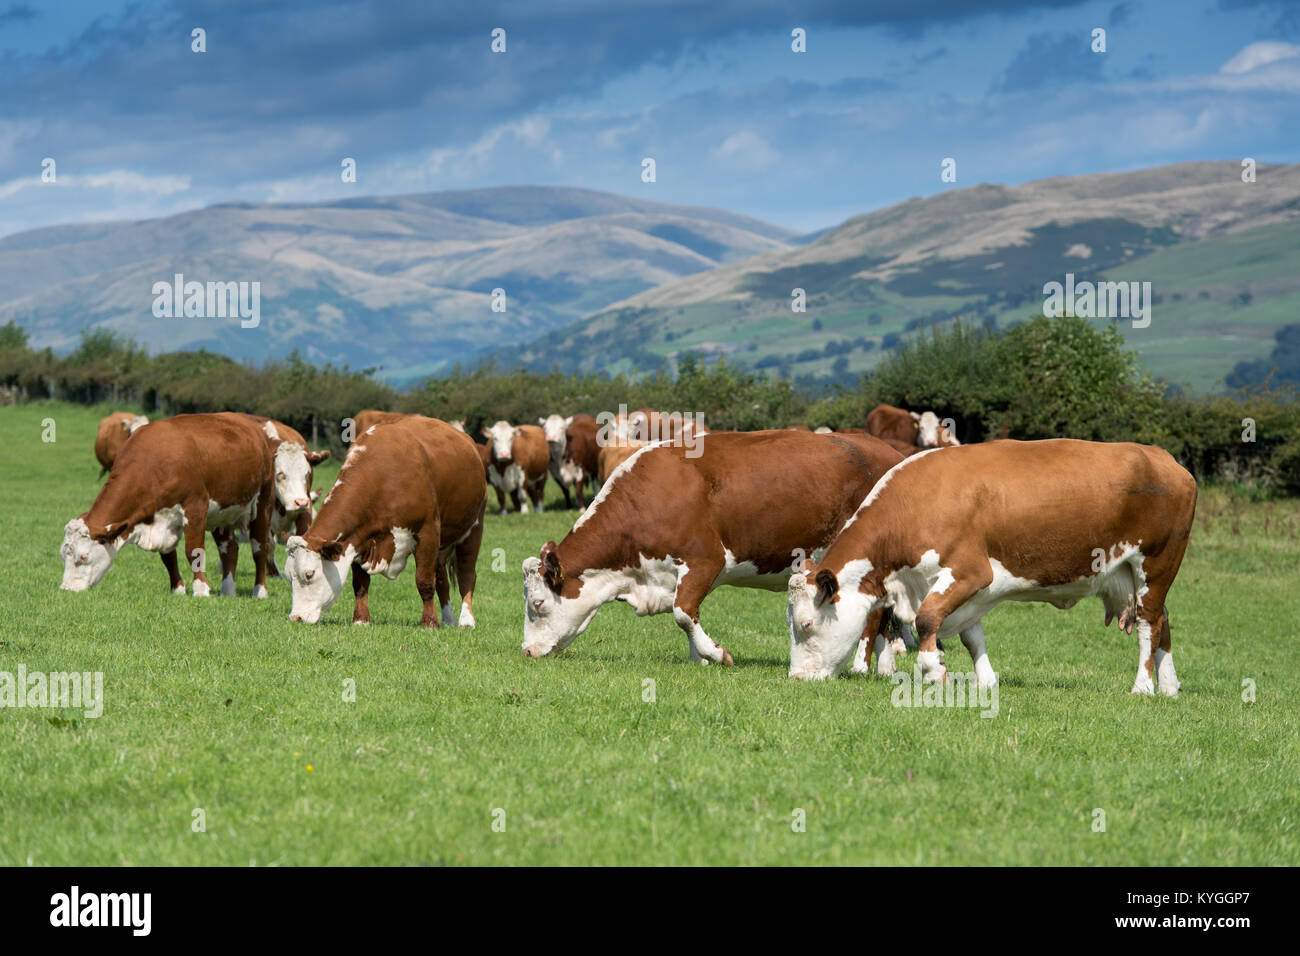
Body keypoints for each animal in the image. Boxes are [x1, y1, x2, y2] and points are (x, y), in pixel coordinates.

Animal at [61, 413, 276, 598]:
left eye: (83, 556)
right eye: (64, 555)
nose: (66, 589)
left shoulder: (195, 507)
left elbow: (193, 551)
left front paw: (200, 590)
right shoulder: (162, 519)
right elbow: (168, 556)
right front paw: (178, 589)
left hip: (263, 502)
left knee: (260, 548)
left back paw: (260, 591)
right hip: (222, 514)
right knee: (229, 549)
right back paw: (228, 590)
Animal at [284, 416, 486, 628]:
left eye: (309, 574)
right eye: (289, 577)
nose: (296, 617)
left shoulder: (428, 532)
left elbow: (424, 581)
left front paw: (429, 623)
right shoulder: (358, 538)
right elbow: (360, 584)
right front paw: (361, 619)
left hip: (473, 529)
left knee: (466, 575)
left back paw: (466, 620)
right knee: (442, 578)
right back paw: (448, 619)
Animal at [520, 430, 904, 665]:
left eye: (538, 604)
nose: (526, 651)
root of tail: (888, 451)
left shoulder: (705, 560)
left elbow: (682, 613)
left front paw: (717, 654)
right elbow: (690, 614)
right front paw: (699, 659)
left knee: (875, 616)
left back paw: (861, 665)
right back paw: (884, 665)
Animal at [786, 439, 1197, 697]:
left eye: (805, 624)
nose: (796, 678)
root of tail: (1164, 459)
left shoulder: (969, 573)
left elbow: (927, 619)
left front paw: (935, 670)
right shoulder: (971, 591)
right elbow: (972, 637)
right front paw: (985, 681)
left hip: (1156, 564)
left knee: (1148, 623)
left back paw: (1143, 687)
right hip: (1133, 574)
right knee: (1163, 621)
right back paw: (1169, 686)